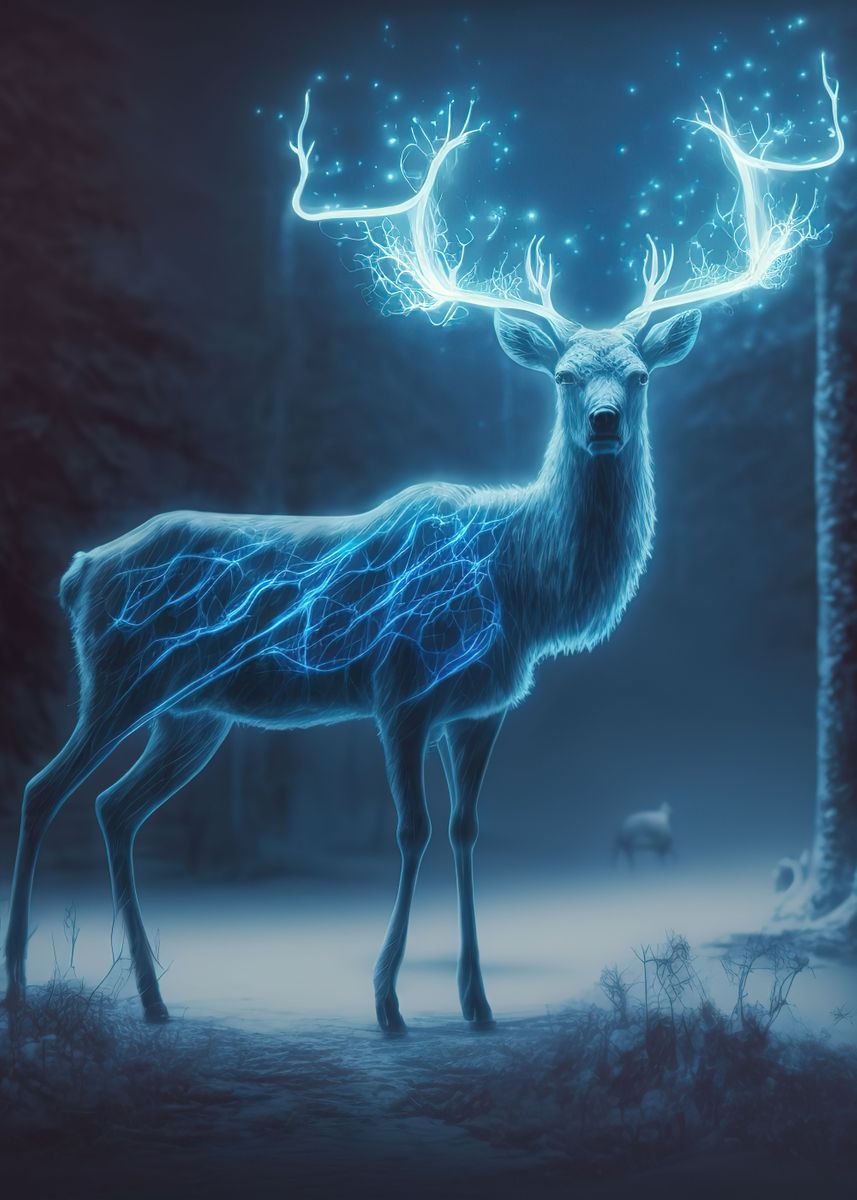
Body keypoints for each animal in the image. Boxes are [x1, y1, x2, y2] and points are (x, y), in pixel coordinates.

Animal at [3, 58, 842, 1031]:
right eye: (564, 376)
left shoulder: (479, 707)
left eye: (635, 376)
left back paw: (152, 997)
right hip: (124, 677)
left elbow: (464, 832)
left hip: (192, 714)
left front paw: (476, 1002)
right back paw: (23, 984)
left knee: (114, 809)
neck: (520, 591)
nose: (602, 421)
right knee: (43, 790)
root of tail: (77, 571)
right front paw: (388, 1002)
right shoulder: (398, 687)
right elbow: (409, 831)